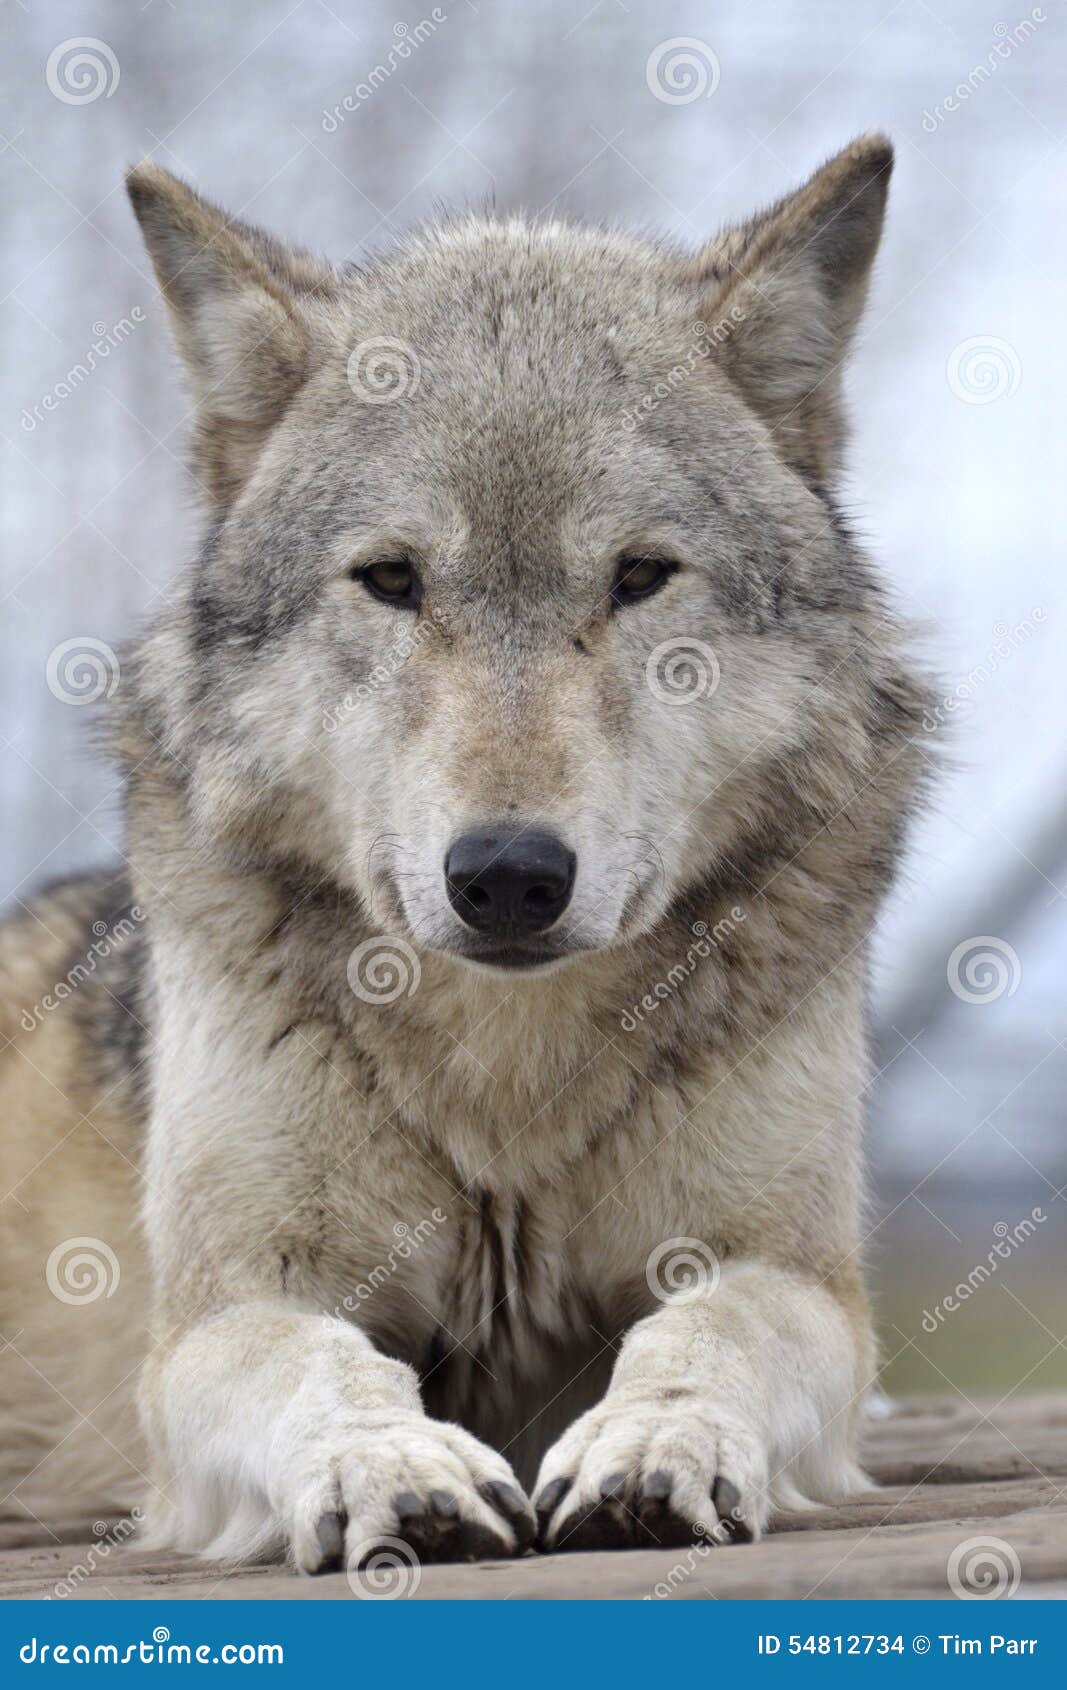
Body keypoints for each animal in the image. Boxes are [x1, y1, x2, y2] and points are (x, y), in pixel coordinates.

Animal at [0, 135, 930, 1570]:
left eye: (637, 576)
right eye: (392, 580)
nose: (505, 875)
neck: (509, 1071)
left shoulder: (790, 1272)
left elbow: (706, 1329)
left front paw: (651, 1444)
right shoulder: (221, 1306)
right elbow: (320, 1361)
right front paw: (392, 1467)